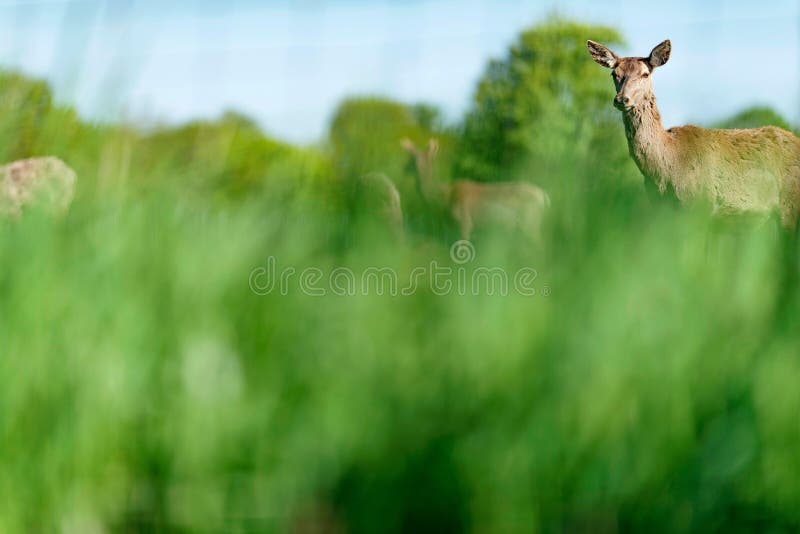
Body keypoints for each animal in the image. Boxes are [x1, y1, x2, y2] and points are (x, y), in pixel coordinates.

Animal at [401, 138, 550, 246]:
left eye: (411, 159)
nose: (404, 168)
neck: (444, 199)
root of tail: (544, 196)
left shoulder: (465, 223)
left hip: (531, 221)